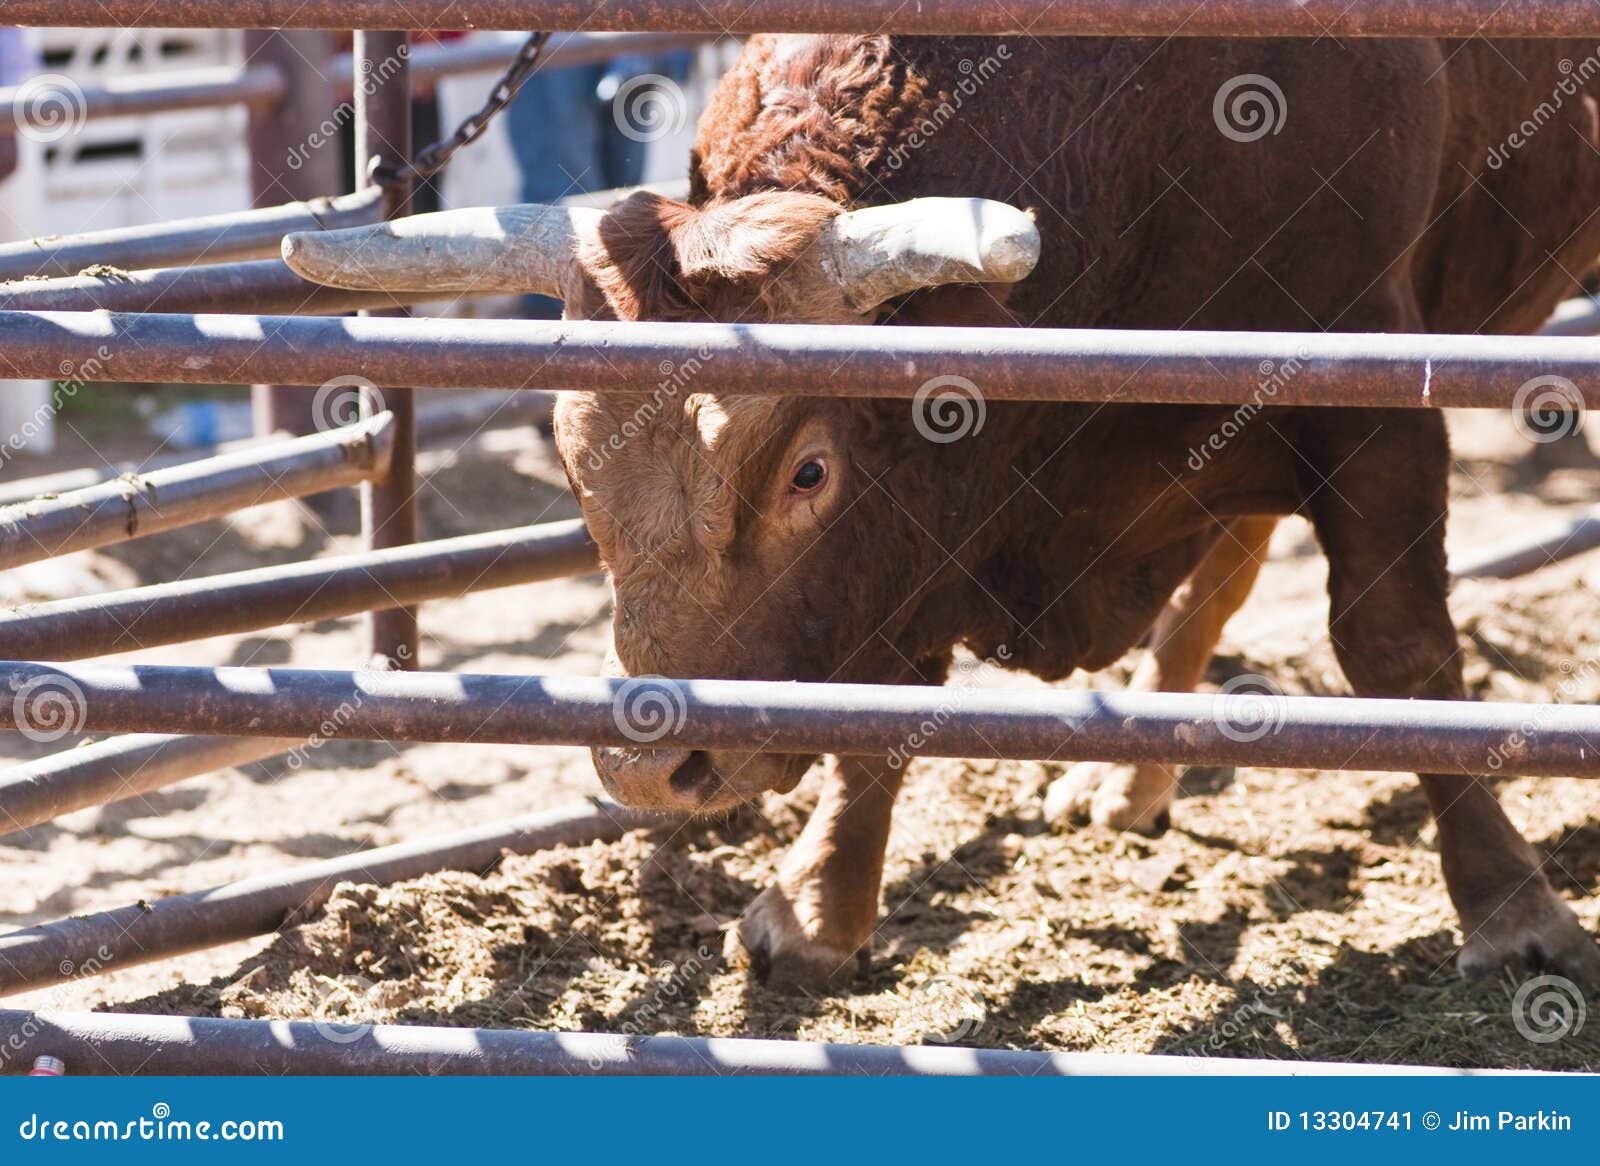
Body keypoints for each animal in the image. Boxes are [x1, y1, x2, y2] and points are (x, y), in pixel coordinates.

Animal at [284, 34, 1600, 993]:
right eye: (573, 462)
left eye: (808, 473)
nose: (652, 768)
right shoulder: (925, 522)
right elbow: (883, 695)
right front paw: (818, 902)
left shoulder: (1370, 400)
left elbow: (1398, 649)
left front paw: (1511, 906)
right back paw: (1134, 779)